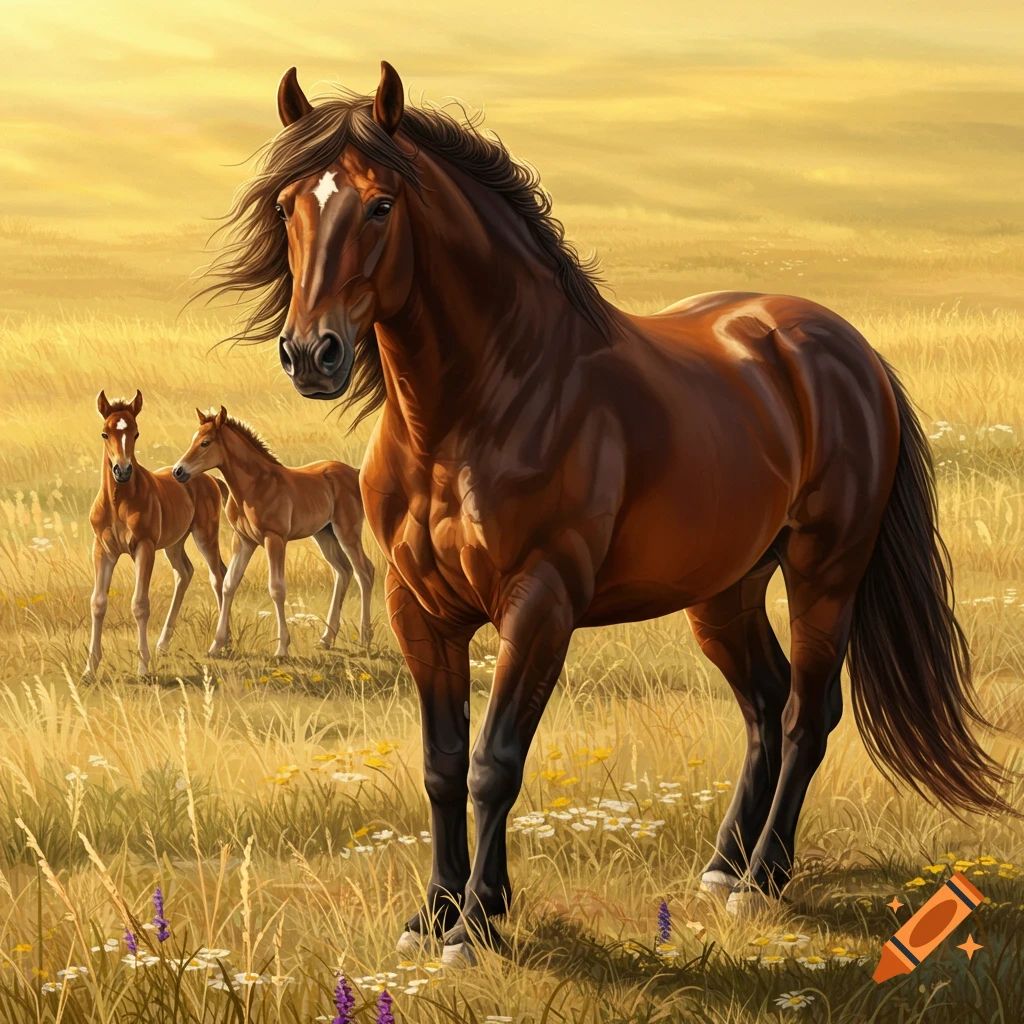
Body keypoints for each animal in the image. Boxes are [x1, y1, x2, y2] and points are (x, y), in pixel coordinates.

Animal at [87, 390, 226, 676]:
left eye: (136, 433)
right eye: (105, 433)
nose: (122, 471)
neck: (119, 502)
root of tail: (209, 478)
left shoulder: (145, 547)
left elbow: (140, 604)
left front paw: (142, 667)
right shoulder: (102, 550)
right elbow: (98, 602)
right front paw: (90, 668)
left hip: (205, 536)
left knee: (217, 577)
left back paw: (221, 644)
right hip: (174, 543)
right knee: (184, 573)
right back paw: (163, 644)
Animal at [171, 407, 375, 657]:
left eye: (205, 443)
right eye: (194, 439)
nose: (178, 471)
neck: (255, 486)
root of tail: (355, 472)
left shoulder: (274, 539)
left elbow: (277, 589)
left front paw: (282, 649)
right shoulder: (243, 541)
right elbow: (229, 584)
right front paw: (216, 646)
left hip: (347, 532)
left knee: (364, 572)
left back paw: (364, 640)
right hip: (324, 535)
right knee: (343, 571)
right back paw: (326, 639)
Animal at [196, 61, 1013, 964]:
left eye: (380, 204)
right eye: (285, 207)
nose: (313, 355)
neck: (484, 402)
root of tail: (847, 349)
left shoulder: (539, 605)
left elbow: (494, 763)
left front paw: (477, 923)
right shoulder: (420, 609)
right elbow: (443, 764)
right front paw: (435, 914)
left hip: (823, 573)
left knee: (807, 713)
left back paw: (761, 880)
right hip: (724, 589)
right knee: (764, 704)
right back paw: (723, 866)